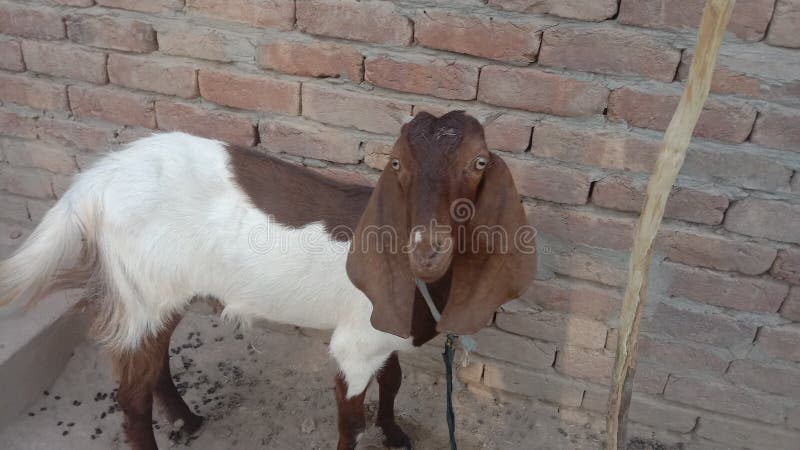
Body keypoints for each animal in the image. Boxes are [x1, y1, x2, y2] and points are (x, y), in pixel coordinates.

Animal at [0, 110, 536, 449]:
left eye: (480, 163)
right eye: (397, 163)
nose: (426, 249)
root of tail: (92, 183)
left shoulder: (381, 334)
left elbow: (394, 381)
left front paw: (397, 434)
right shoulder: (355, 344)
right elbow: (350, 421)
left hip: (163, 292)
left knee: (155, 366)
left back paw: (189, 420)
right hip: (141, 291)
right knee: (130, 398)